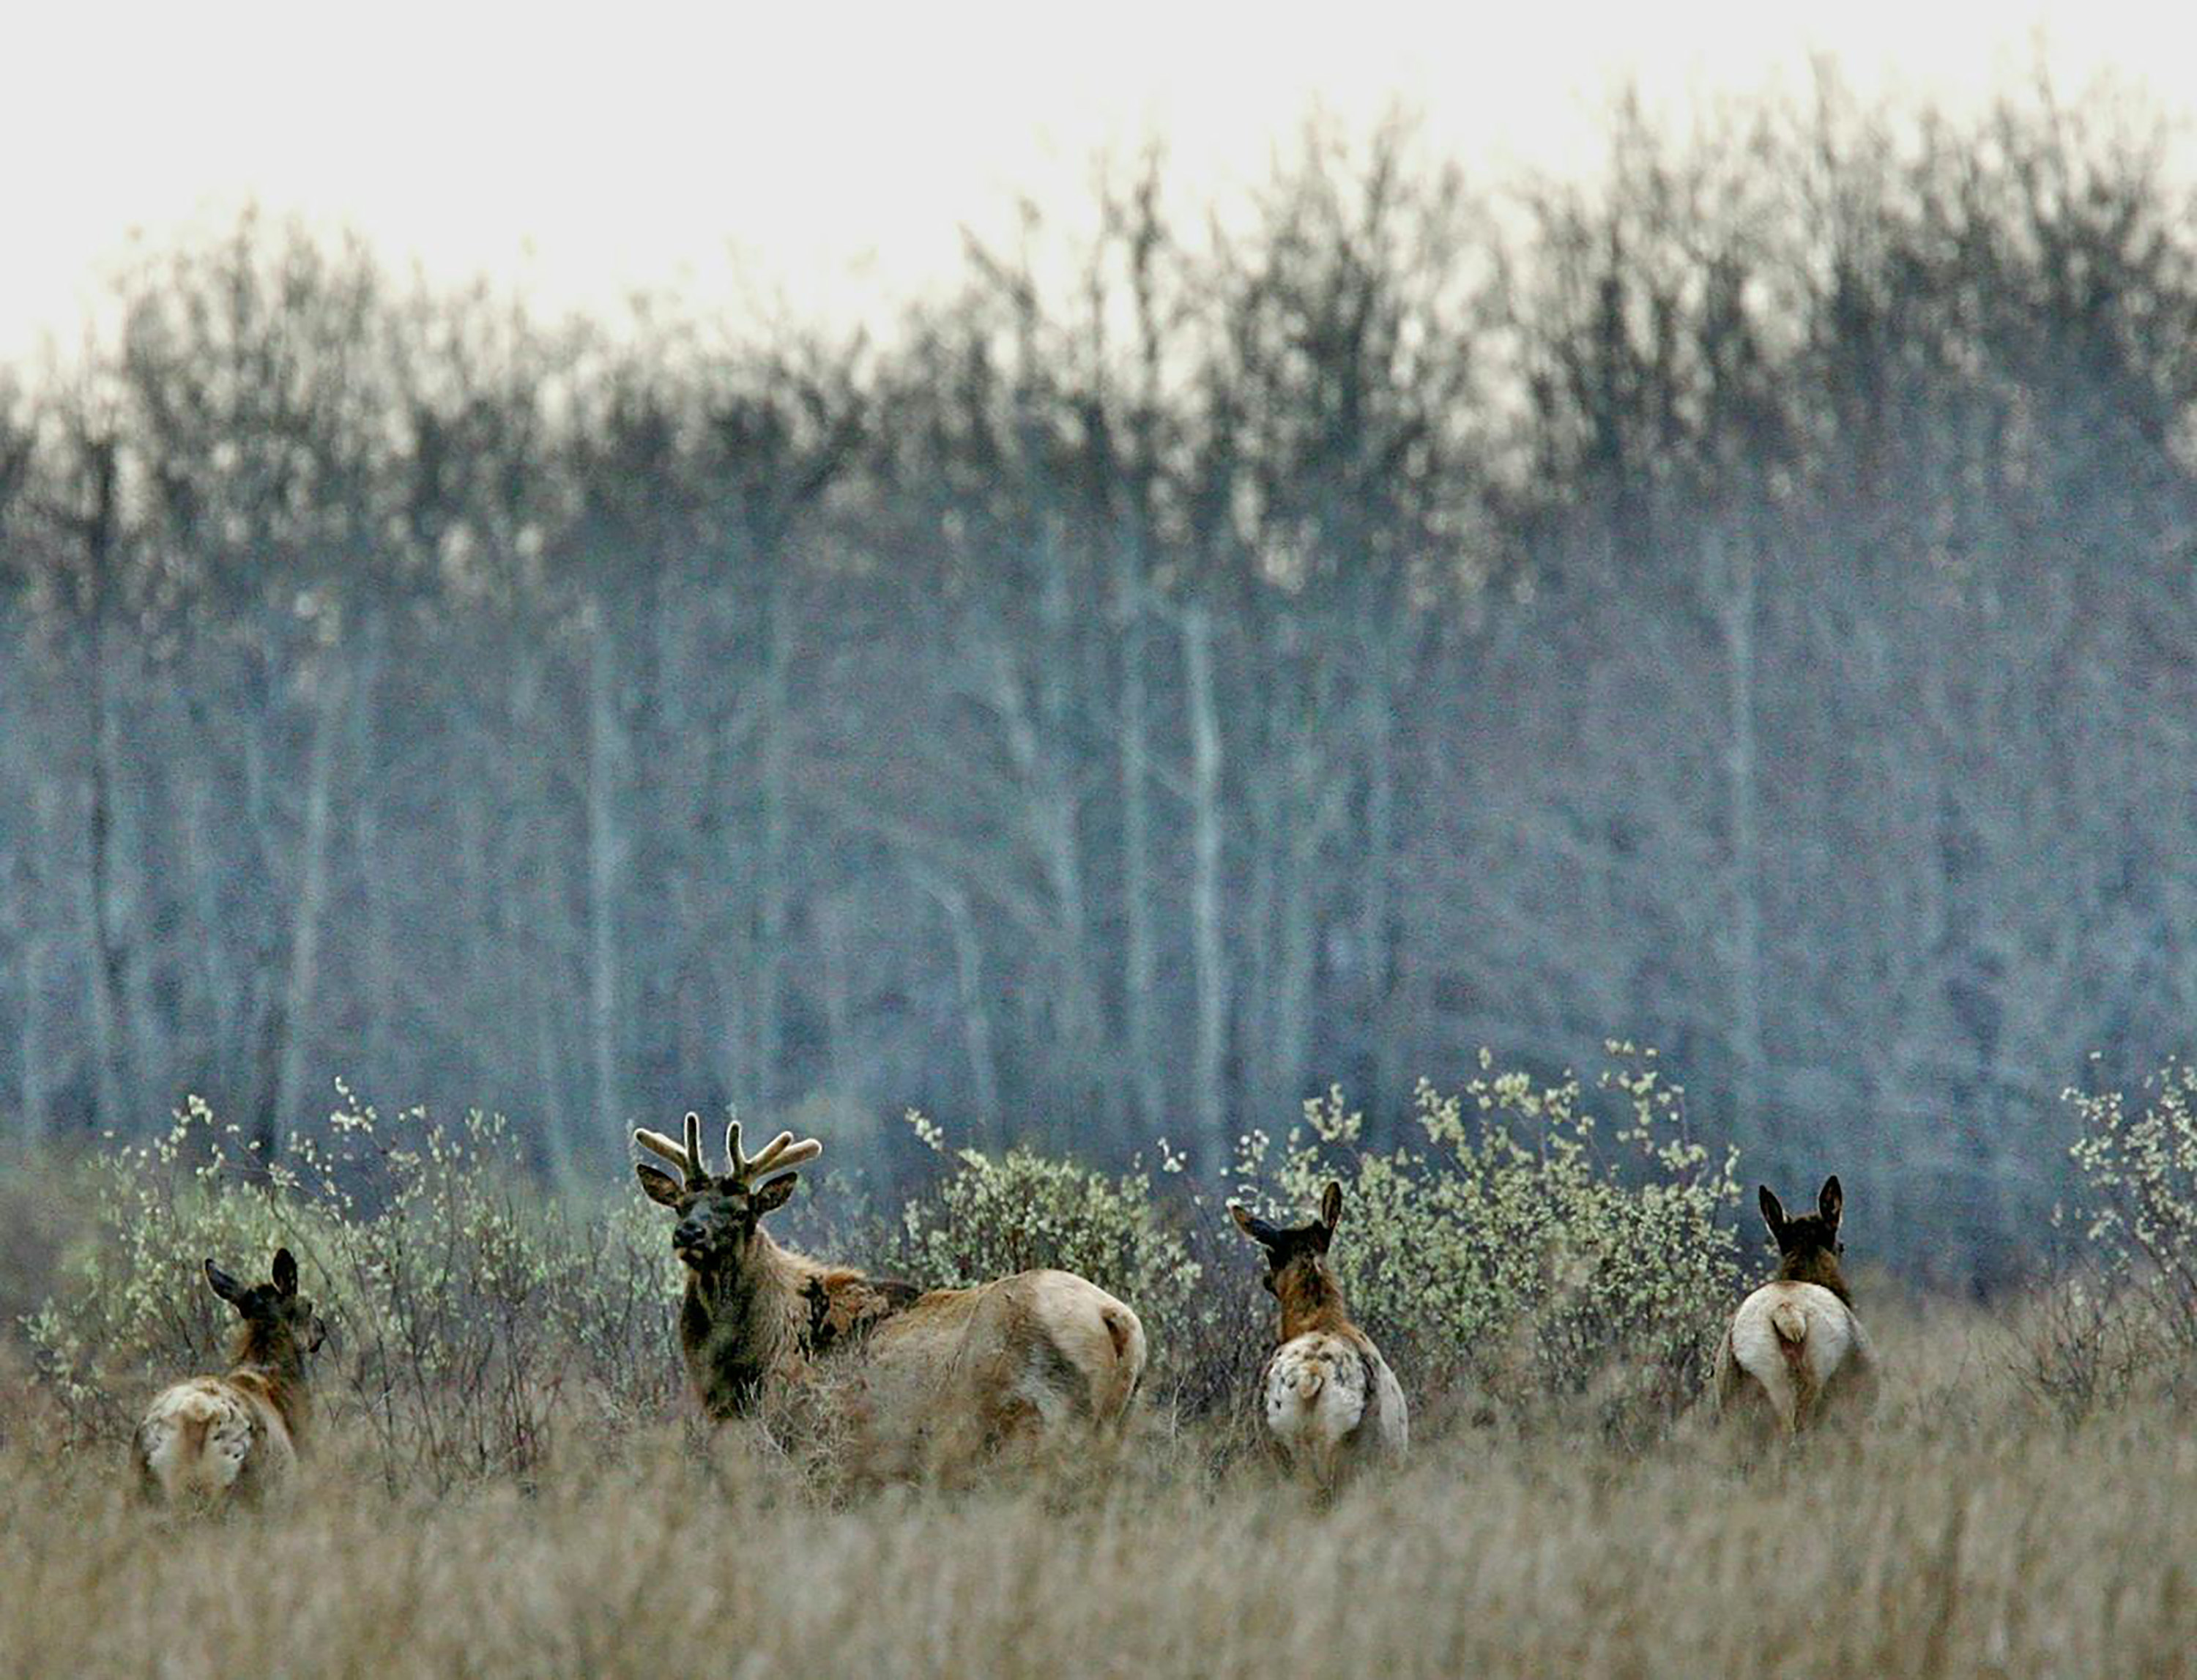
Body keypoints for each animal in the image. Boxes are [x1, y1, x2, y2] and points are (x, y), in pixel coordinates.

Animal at [633, 1113, 1147, 1475]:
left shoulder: (813, 1430)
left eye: (742, 1211)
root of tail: (1118, 1319)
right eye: (681, 1203)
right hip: (1112, 1424)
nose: (689, 1233)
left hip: (1045, 1421)